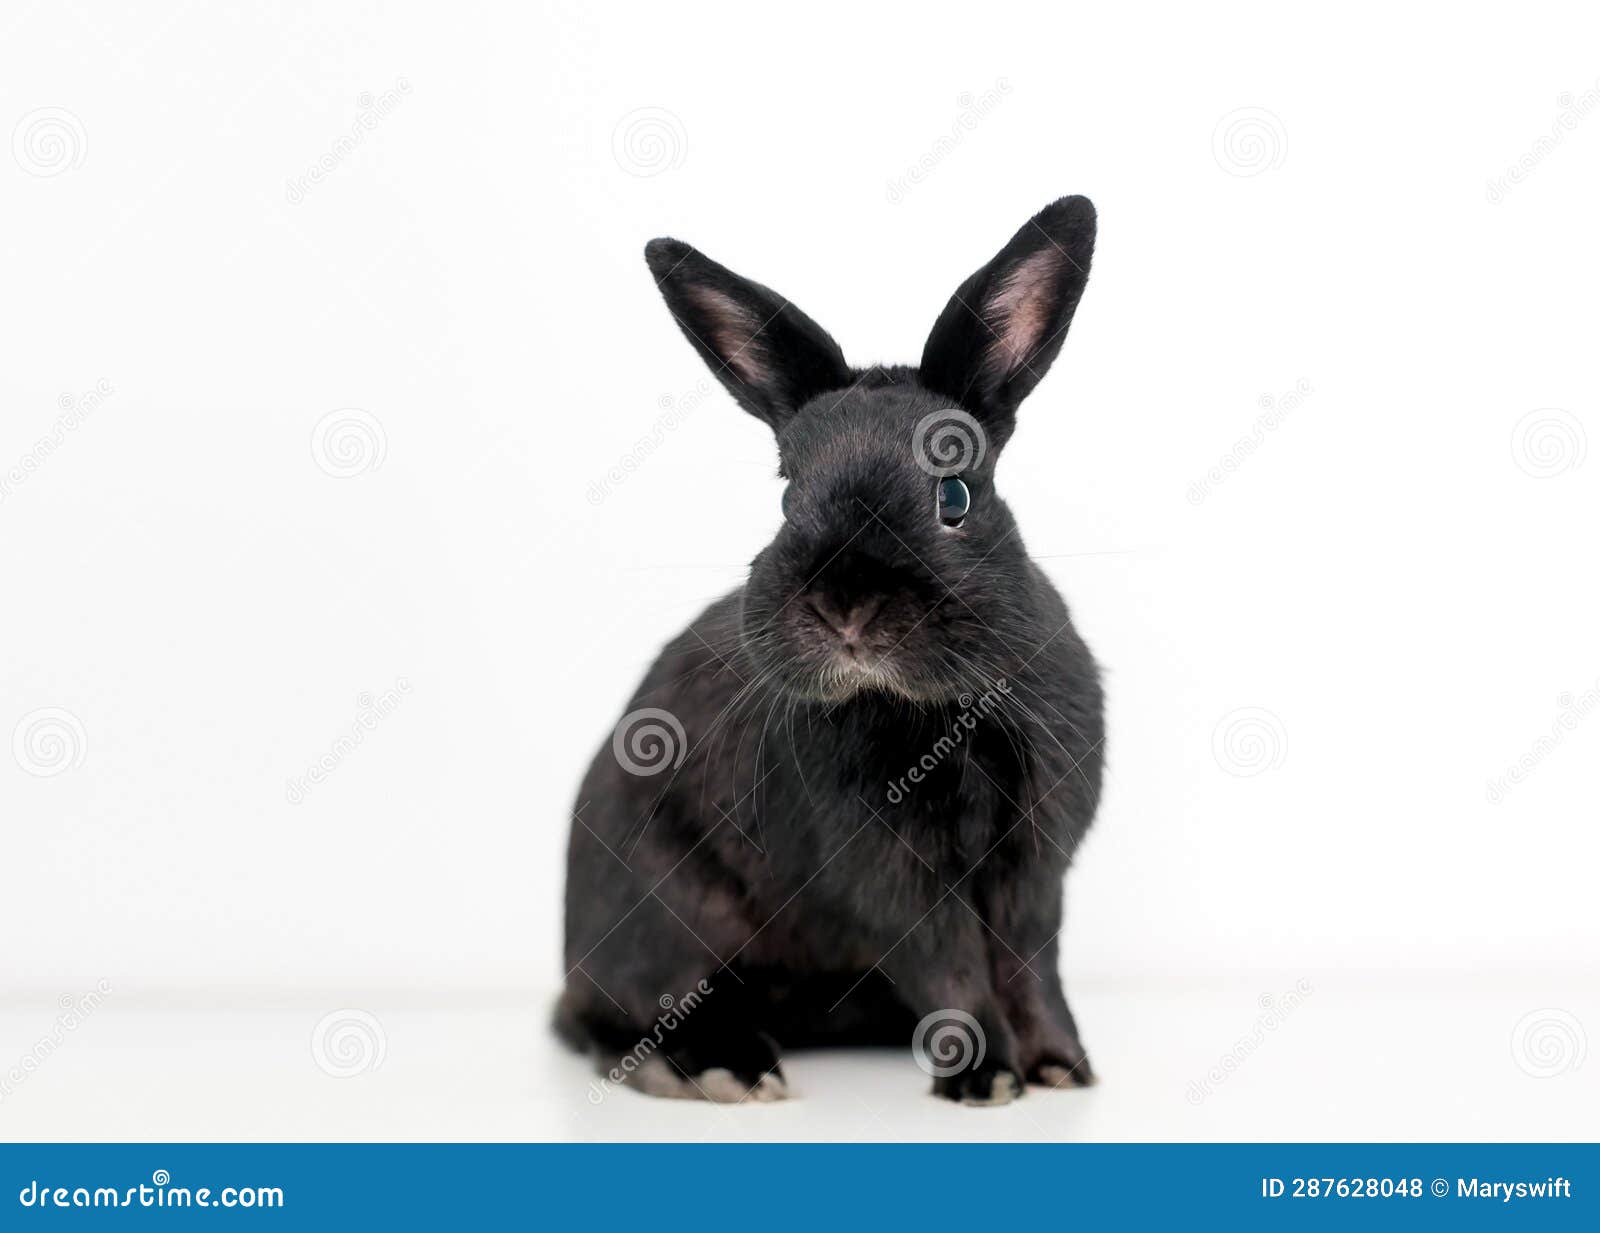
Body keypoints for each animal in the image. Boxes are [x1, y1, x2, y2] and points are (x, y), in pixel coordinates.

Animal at [557, 197, 1104, 1106]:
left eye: (956, 493)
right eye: (787, 493)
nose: (845, 606)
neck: (944, 714)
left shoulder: (1035, 869)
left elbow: (1033, 965)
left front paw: (1063, 1066)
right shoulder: (890, 878)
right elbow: (955, 969)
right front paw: (987, 1077)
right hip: (666, 920)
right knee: (618, 1019)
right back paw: (723, 1068)